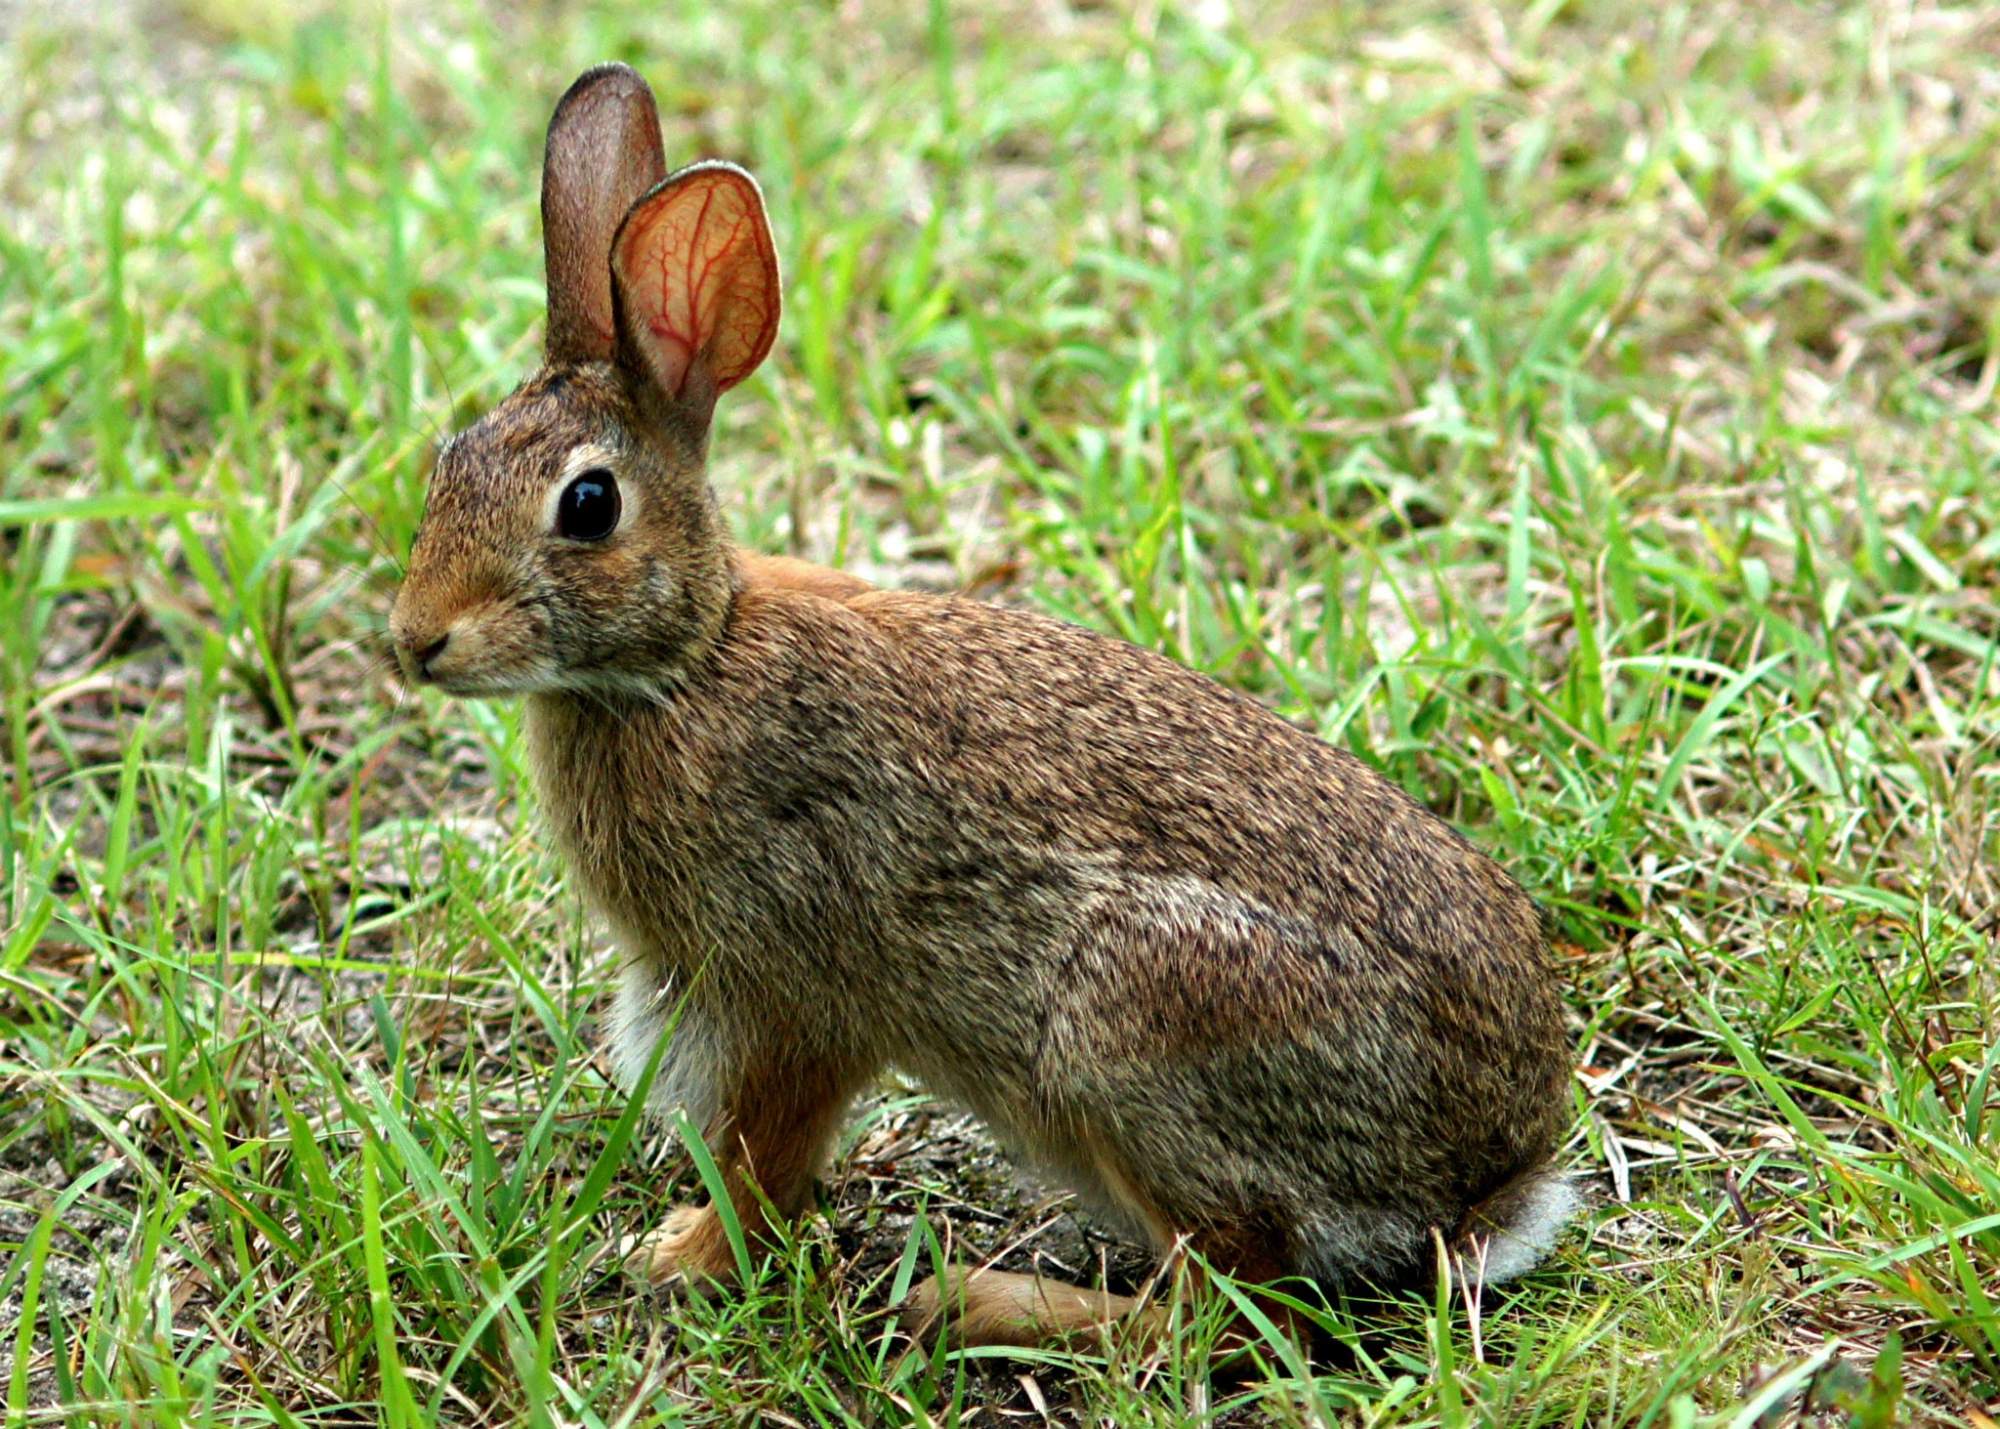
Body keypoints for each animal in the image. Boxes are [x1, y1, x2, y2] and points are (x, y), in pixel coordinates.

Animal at [388, 63, 1577, 1349]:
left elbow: (765, 1165)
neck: (689, 658)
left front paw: (679, 1259)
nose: (416, 639)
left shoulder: (791, 998)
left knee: (1223, 1310)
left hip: (1128, 1035)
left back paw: (969, 1299)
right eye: (448, 458)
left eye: (589, 504)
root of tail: (1491, 1176)